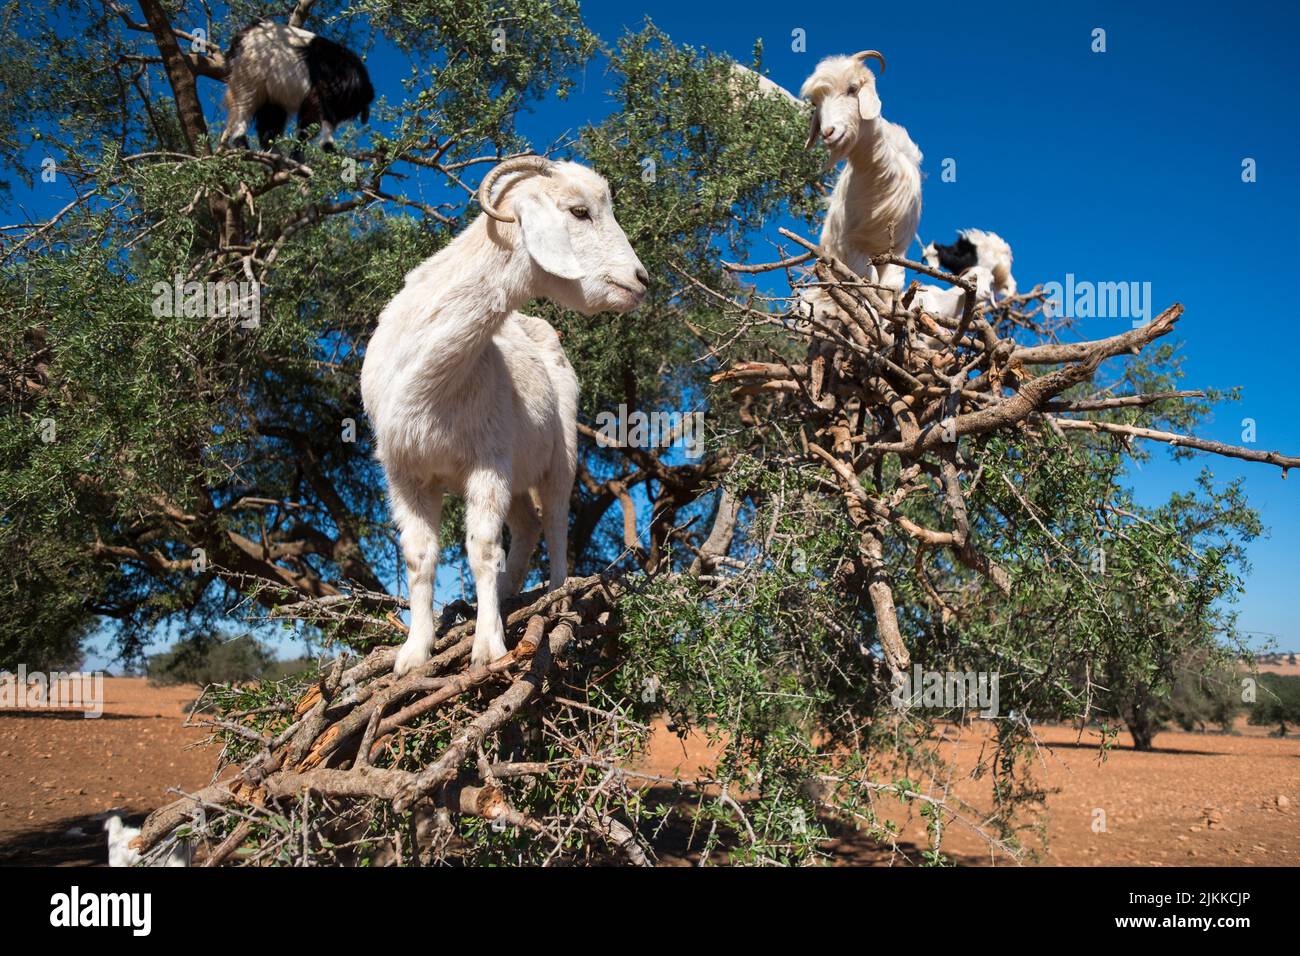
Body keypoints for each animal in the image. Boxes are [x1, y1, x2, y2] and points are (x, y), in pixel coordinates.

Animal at [220, 20, 373, 153]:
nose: (327, 146)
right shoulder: (323, 90)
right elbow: (310, 121)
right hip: (249, 73)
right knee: (244, 104)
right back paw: (240, 141)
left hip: (271, 91)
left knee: (269, 119)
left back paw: (273, 151)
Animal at [360, 156, 649, 675]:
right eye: (579, 211)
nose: (641, 280)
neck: (433, 385)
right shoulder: (404, 472)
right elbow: (419, 556)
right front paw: (414, 652)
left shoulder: (488, 465)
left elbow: (482, 549)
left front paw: (488, 647)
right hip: (518, 475)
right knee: (529, 526)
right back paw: (508, 595)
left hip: (561, 455)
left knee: (554, 523)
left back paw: (556, 599)